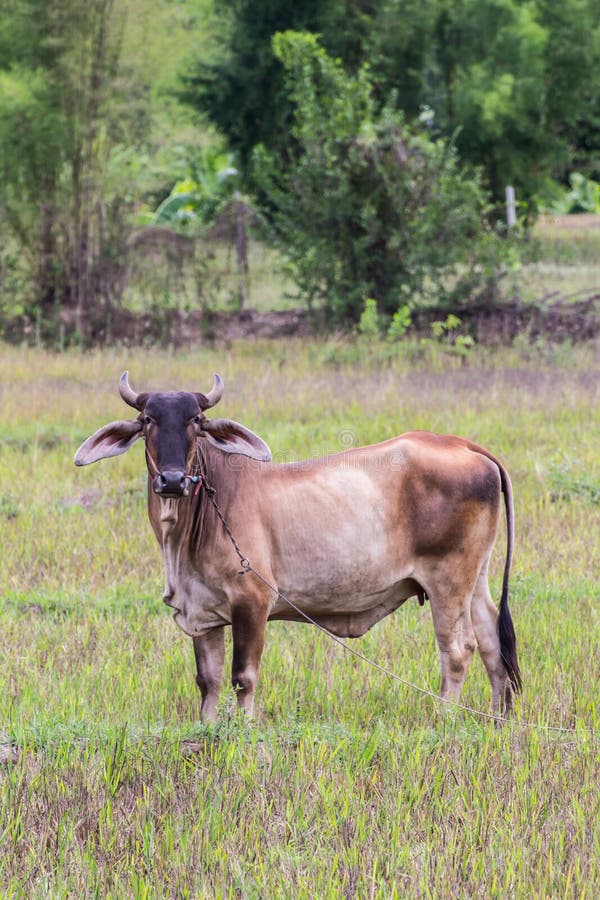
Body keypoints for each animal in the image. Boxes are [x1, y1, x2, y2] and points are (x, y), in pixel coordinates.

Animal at [74, 372, 521, 722]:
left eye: (196, 420)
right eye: (148, 419)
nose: (171, 480)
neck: (184, 532)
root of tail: (463, 445)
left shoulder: (252, 602)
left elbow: (243, 678)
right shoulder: (203, 613)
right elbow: (208, 681)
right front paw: (207, 730)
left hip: (448, 581)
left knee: (458, 650)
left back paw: (444, 719)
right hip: (475, 578)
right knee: (491, 642)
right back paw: (497, 720)